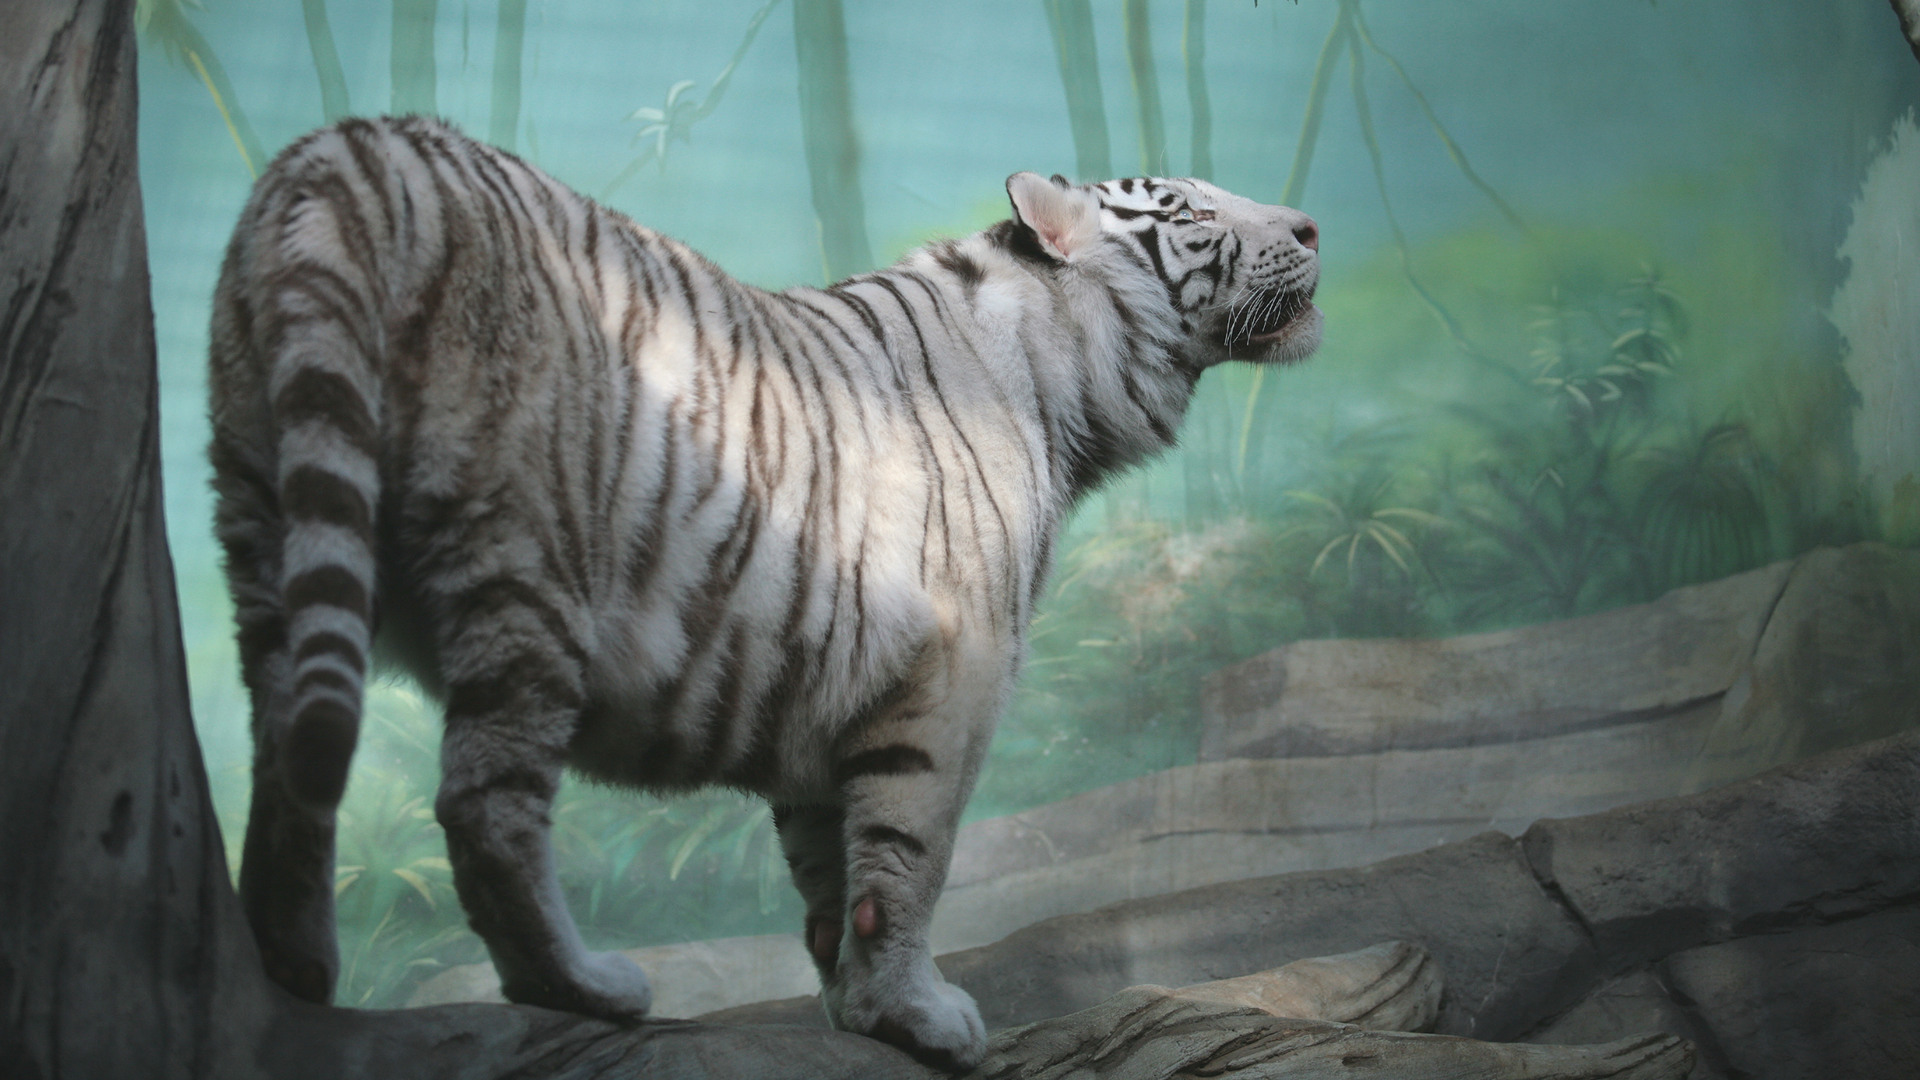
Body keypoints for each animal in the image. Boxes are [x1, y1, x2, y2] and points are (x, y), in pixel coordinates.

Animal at [209, 114, 1320, 1070]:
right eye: (1189, 209)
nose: (1311, 227)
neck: (1063, 382)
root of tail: (353, 146)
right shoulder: (954, 671)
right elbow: (911, 855)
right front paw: (921, 1016)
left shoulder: (830, 680)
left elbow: (828, 869)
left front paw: (856, 1006)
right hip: (526, 559)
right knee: (484, 807)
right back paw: (583, 986)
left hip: (264, 523)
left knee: (287, 757)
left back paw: (297, 963)